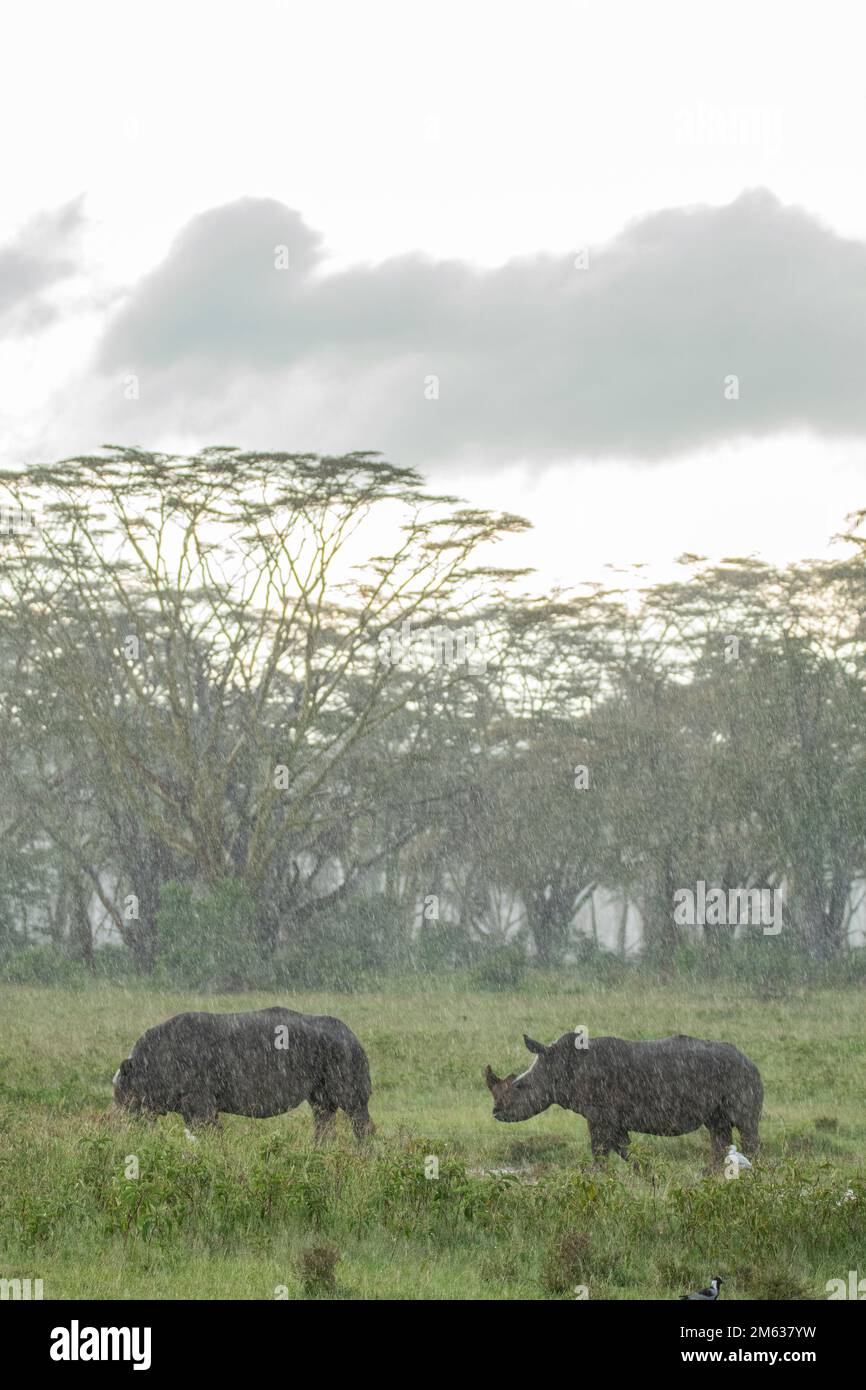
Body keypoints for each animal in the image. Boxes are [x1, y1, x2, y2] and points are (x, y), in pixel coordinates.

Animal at [113, 1006, 374, 1140]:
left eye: (126, 1100)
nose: (120, 1125)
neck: (147, 1067)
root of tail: (352, 1036)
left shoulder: (199, 1102)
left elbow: (211, 1134)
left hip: (344, 1056)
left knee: (355, 1112)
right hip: (320, 1087)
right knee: (323, 1115)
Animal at [485, 1031, 762, 1163]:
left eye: (520, 1087)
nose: (496, 1112)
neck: (561, 1064)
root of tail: (750, 1061)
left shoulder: (600, 1115)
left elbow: (600, 1151)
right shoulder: (612, 1119)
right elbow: (627, 1151)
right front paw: (650, 1178)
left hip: (740, 1075)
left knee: (747, 1128)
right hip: (725, 1087)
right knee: (718, 1130)